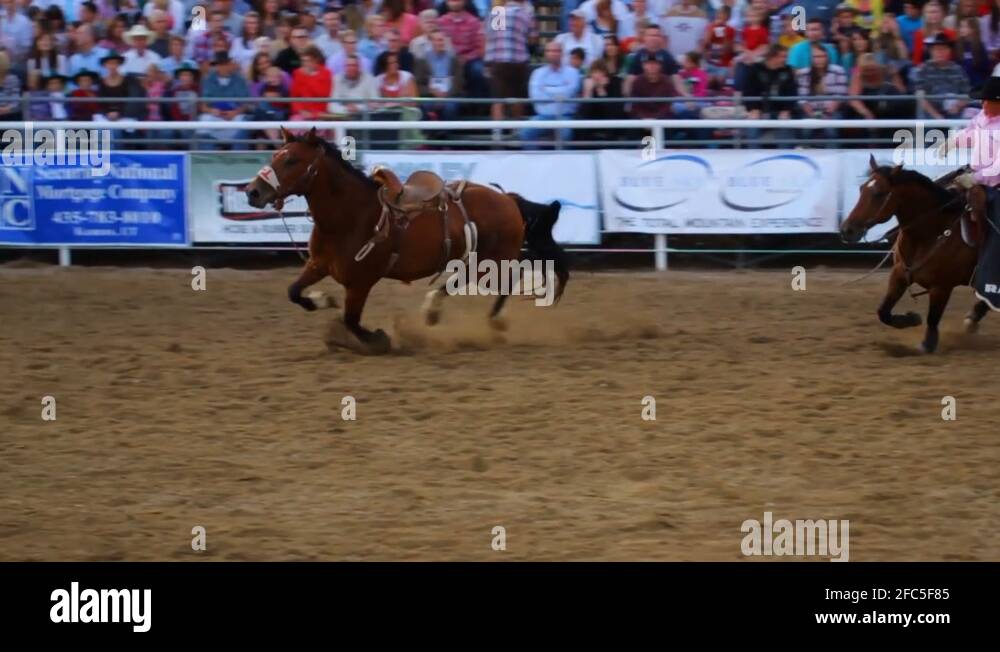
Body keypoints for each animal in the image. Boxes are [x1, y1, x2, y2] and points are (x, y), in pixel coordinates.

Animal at [244, 127, 569, 354]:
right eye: (274, 156)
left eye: (291, 160)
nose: (253, 191)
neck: (351, 216)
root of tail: (508, 200)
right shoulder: (318, 264)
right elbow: (293, 292)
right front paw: (322, 299)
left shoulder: (361, 283)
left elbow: (351, 320)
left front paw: (378, 338)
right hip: (477, 259)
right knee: (471, 279)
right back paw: (433, 311)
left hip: (492, 262)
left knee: (510, 278)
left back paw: (490, 320)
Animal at [840, 155, 990, 353]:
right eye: (861, 188)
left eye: (879, 193)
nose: (847, 230)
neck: (931, 232)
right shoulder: (899, 274)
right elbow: (883, 312)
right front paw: (911, 319)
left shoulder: (941, 287)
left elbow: (932, 322)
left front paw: (926, 343)